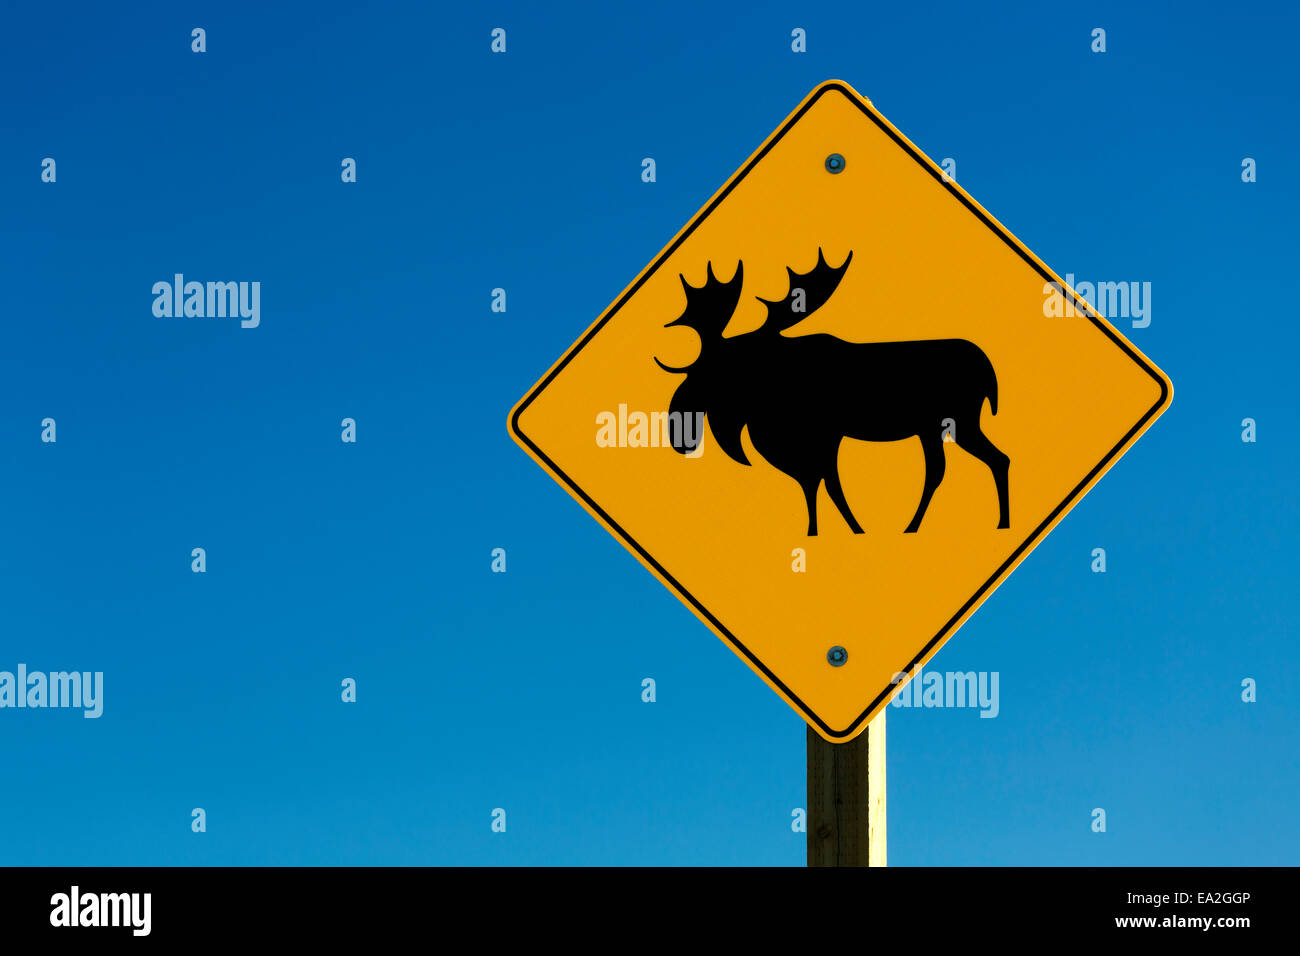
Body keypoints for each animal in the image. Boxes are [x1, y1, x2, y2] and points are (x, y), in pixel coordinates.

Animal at [654, 251, 1011, 536]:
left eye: (713, 371)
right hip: (937, 427)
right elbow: (817, 482)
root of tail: (988, 370)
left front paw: (853, 529)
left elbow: (827, 482)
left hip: (958, 421)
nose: (677, 425)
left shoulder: (826, 433)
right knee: (971, 463)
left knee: (976, 463)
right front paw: (823, 530)